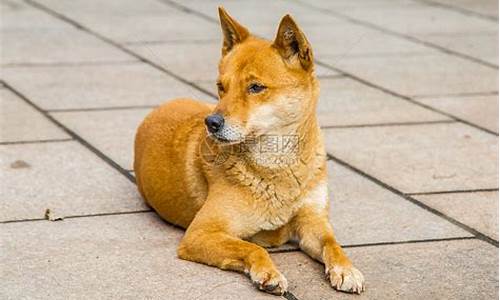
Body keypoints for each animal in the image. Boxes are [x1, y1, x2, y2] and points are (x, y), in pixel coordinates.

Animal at [135, 6, 366, 296]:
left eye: (256, 87)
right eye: (221, 87)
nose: (211, 123)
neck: (278, 165)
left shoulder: (313, 221)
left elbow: (332, 244)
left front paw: (346, 269)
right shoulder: (201, 233)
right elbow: (252, 247)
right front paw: (268, 273)